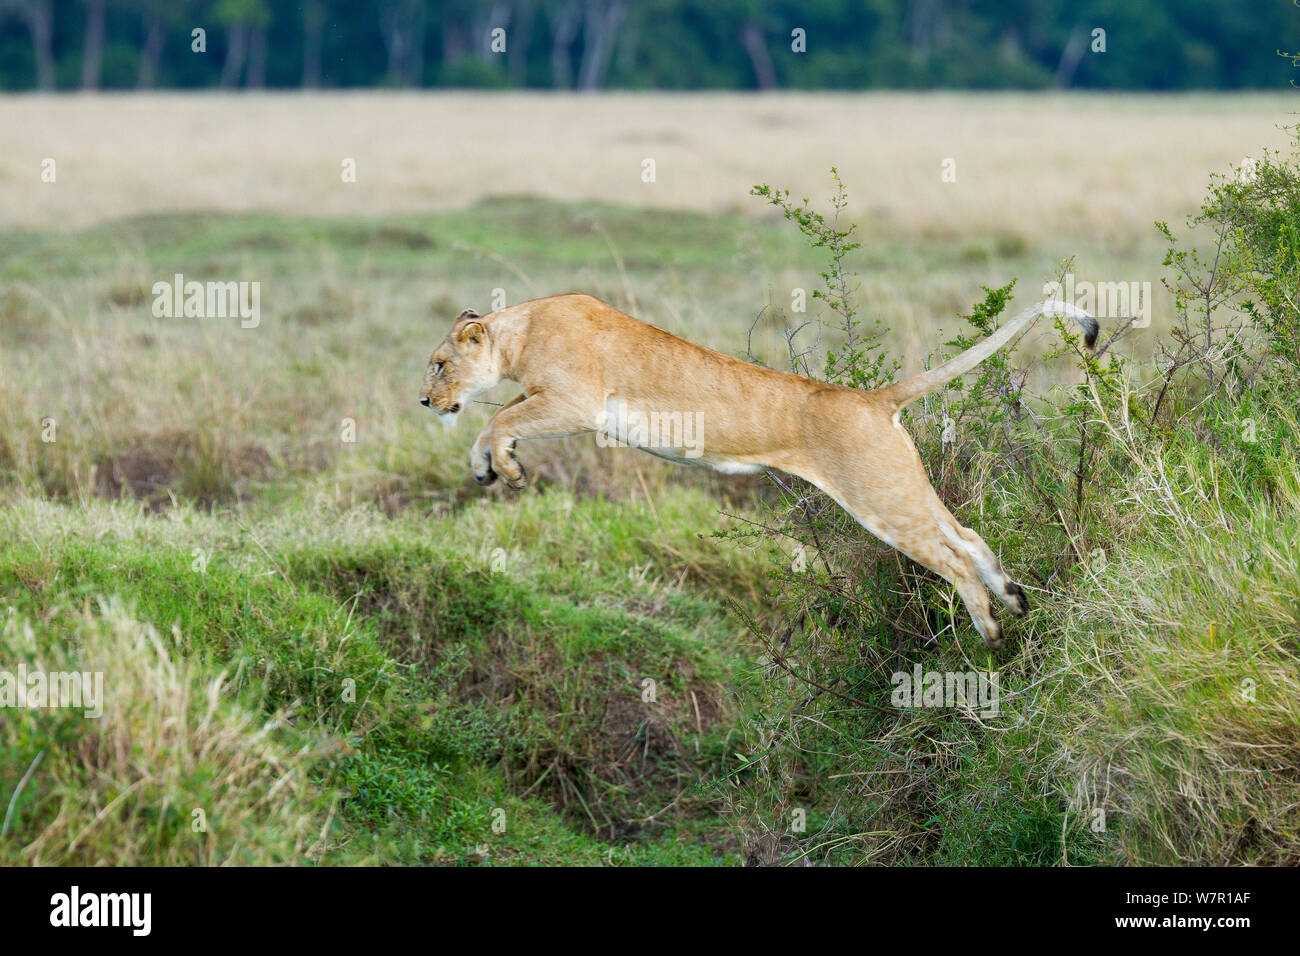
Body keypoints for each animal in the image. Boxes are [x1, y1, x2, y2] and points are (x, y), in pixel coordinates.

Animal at [421, 293, 1097, 648]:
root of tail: (871, 398)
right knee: (969, 535)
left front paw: (500, 465)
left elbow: (498, 420)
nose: (425, 402)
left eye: (439, 364)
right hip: (903, 483)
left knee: (952, 557)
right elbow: (501, 417)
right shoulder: (550, 398)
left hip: (878, 499)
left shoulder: (574, 402)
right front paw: (492, 468)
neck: (521, 328)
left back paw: (989, 626)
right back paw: (1013, 599)